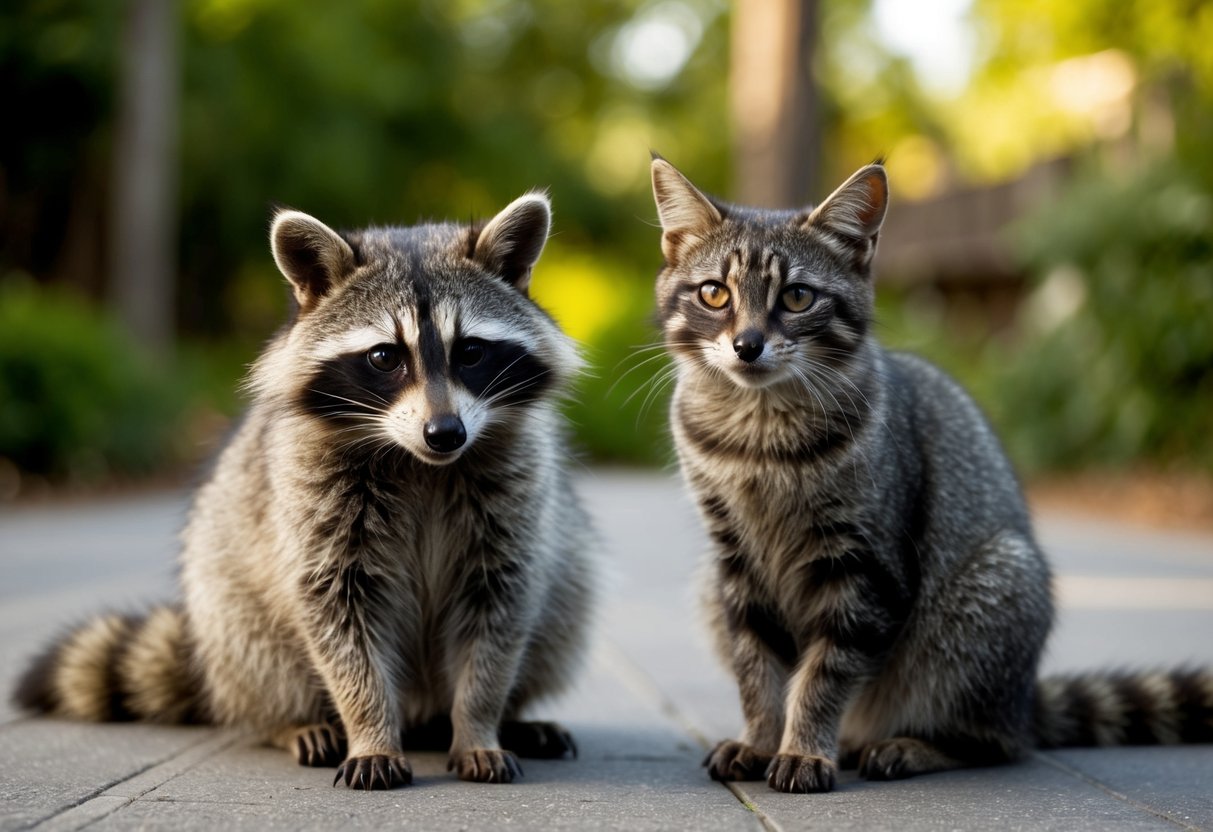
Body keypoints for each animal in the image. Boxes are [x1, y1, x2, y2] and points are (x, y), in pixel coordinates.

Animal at [14, 192, 596, 789]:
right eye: (385, 356)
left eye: (472, 352)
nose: (446, 433)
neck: (420, 462)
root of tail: (421, 713)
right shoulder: (313, 499)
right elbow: (339, 620)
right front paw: (369, 728)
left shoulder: (514, 499)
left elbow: (498, 620)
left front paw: (479, 722)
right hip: (226, 607)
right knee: (255, 649)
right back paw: (293, 721)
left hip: (565, 571)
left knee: (562, 607)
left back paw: (509, 719)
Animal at [649, 155, 1213, 793]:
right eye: (714, 293)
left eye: (796, 297)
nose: (747, 344)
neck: (759, 438)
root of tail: (1024, 702)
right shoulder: (735, 567)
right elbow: (756, 671)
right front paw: (761, 740)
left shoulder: (864, 568)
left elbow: (823, 674)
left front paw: (803, 748)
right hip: (710, 587)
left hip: (992, 596)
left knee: (995, 742)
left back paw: (905, 746)